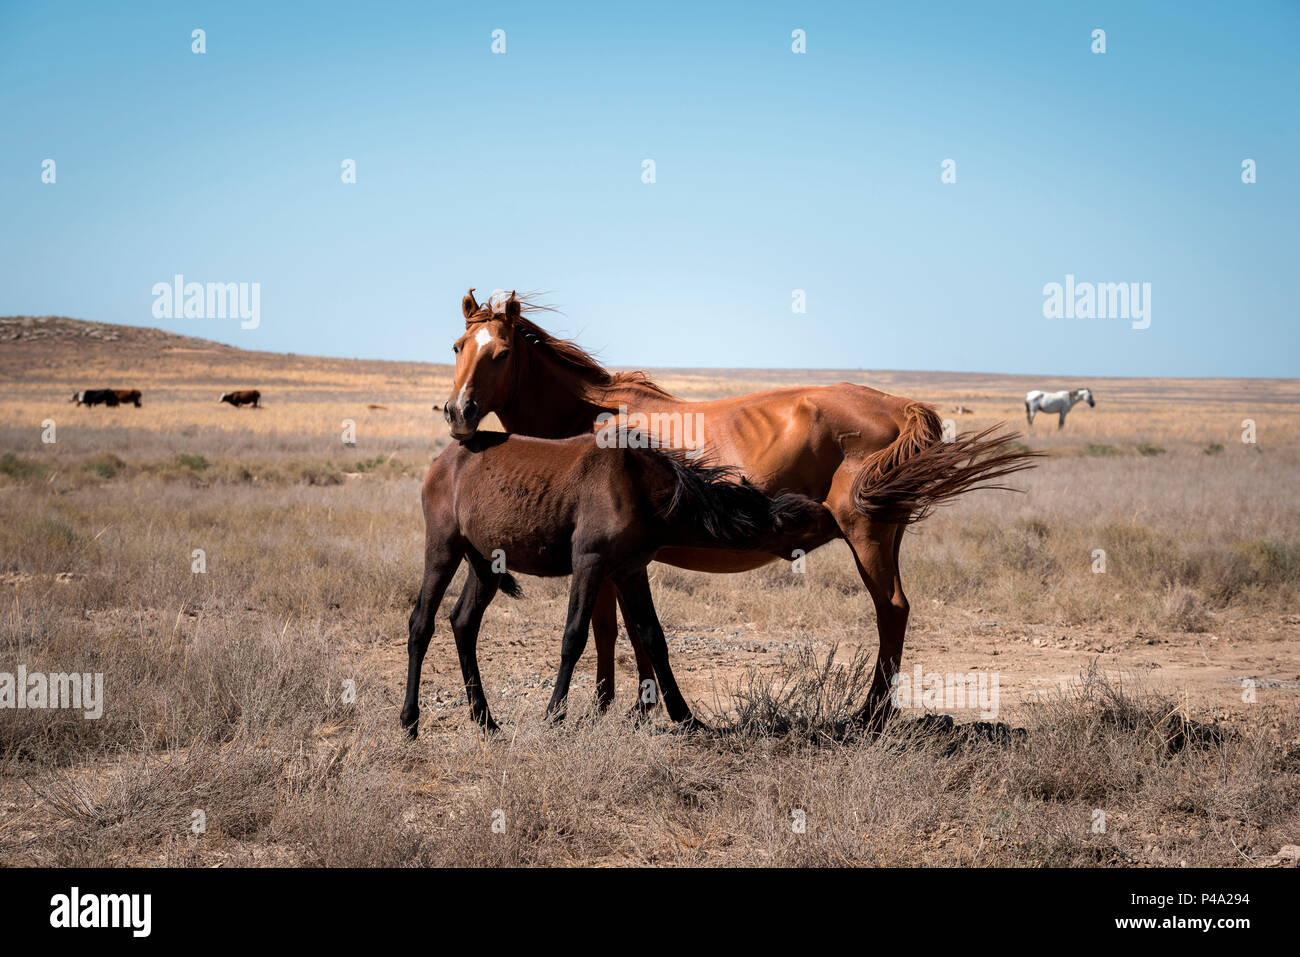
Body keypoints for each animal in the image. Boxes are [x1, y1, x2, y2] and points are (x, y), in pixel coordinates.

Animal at [399, 430, 842, 735]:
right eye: (805, 520)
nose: (839, 519)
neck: (639, 486)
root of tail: (444, 460)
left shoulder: (630, 571)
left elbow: (652, 637)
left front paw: (686, 717)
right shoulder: (589, 563)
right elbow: (575, 637)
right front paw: (554, 714)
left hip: (484, 566)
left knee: (463, 623)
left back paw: (485, 720)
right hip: (443, 549)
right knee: (422, 624)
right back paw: (410, 721)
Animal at [442, 288, 1040, 727]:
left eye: (500, 352)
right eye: (457, 347)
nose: (457, 411)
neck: (593, 419)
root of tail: (896, 404)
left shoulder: (605, 559)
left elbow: (606, 628)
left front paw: (609, 709)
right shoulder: (624, 561)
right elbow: (630, 629)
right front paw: (636, 708)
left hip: (866, 535)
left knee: (890, 611)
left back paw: (869, 716)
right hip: (886, 534)